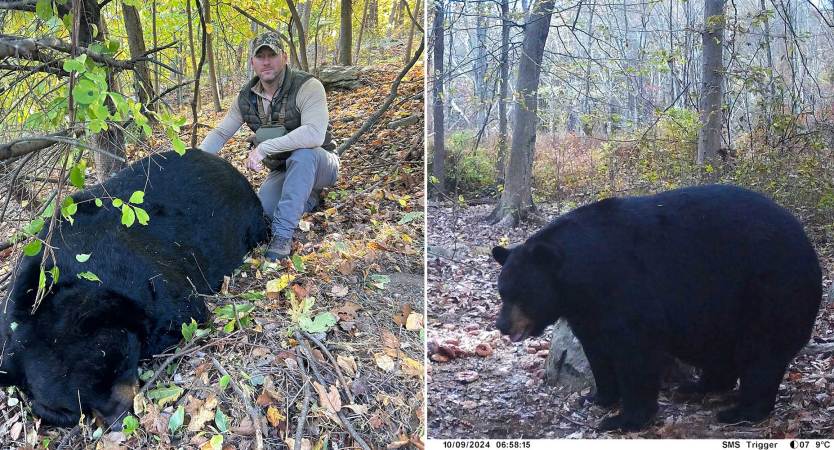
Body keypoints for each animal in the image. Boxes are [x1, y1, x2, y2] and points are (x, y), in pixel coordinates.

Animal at [491, 184, 822, 432]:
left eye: (522, 293)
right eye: (502, 291)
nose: (502, 326)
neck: (581, 277)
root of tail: (808, 245)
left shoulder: (627, 291)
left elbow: (634, 352)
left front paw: (624, 418)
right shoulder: (588, 311)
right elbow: (597, 350)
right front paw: (597, 397)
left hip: (769, 291)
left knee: (762, 353)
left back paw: (741, 411)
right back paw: (697, 387)